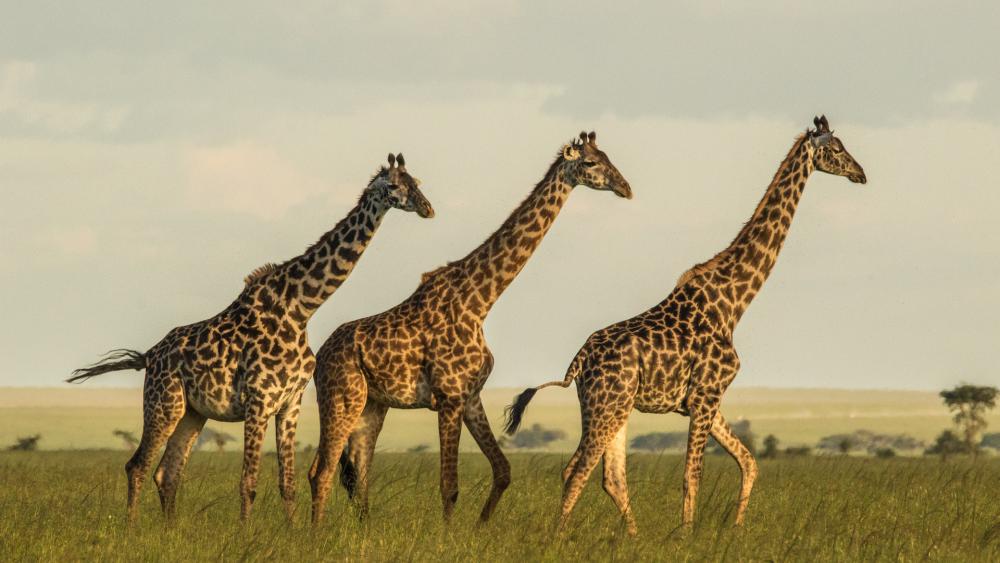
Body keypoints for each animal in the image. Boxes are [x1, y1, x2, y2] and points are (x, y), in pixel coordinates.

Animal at [67, 153, 433, 524]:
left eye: (417, 182)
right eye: (394, 185)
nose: (427, 208)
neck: (300, 309)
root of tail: (148, 356)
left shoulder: (290, 403)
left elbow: (288, 484)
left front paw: (293, 531)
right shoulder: (258, 401)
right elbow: (249, 483)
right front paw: (246, 532)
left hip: (191, 413)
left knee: (167, 473)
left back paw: (169, 530)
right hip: (163, 404)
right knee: (137, 466)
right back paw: (131, 526)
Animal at [308, 132, 633, 524]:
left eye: (608, 157)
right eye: (590, 163)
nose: (626, 188)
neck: (479, 302)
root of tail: (320, 357)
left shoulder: (471, 396)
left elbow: (503, 470)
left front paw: (480, 528)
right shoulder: (448, 397)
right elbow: (449, 485)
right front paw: (447, 535)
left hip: (371, 405)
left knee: (357, 472)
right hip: (341, 398)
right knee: (322, 471)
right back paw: (314, 533)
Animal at [504, 116, 867, 536]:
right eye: (836, 149)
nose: (861, 174)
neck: (733, 304)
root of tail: (578, 361)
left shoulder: (707, 398)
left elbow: (749, 463)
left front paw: (735, 528)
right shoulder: (706, 395)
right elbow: (693, 475)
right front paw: (687, 536)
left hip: (611, 406)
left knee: (609, 475)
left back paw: (633, 537)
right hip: (607, 404)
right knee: (578, 470)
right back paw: (560, 537)